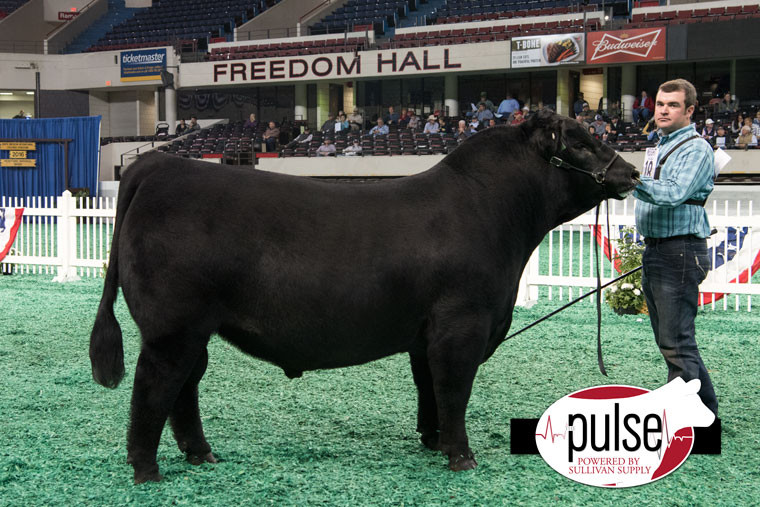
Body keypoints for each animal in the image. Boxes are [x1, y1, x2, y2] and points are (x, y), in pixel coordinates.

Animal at [90, 110, 639, 483]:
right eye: (582, 142)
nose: (632, 173)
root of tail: (158, 164)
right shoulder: (463, 325)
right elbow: (454, 389)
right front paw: (461, 456)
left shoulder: (426, 334)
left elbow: (429, 389)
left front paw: (433, 442)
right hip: (173, 328)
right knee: (154, 385)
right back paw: (147, 469)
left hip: (194, 330)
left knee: (184, 387)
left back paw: (200, 453)